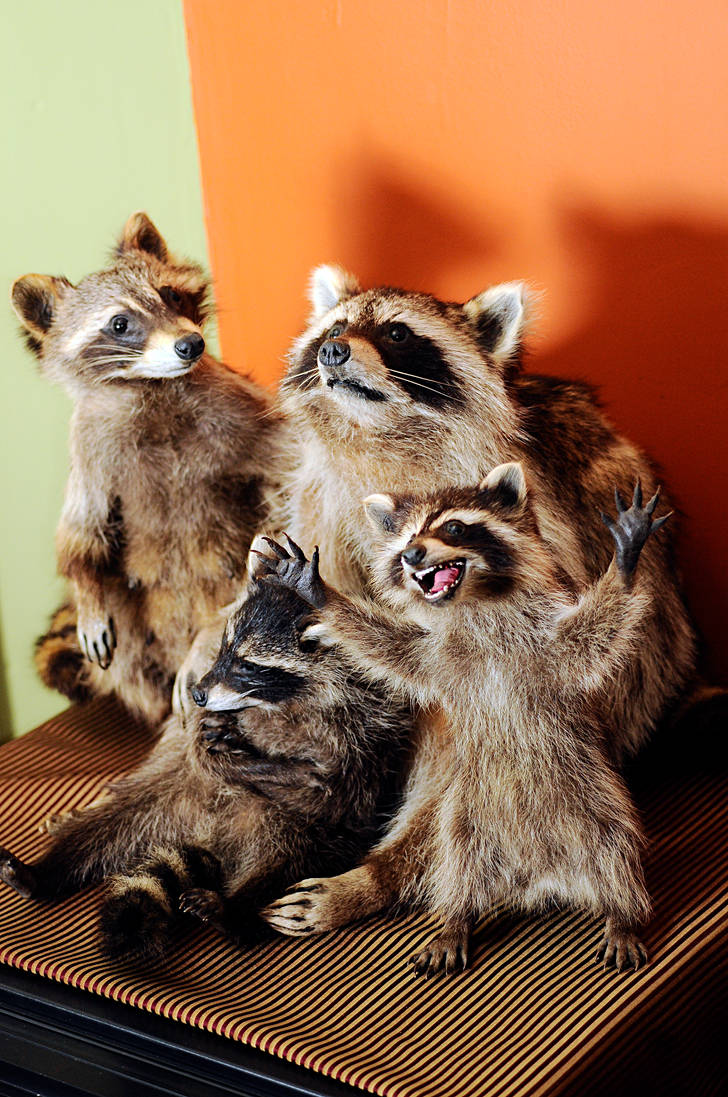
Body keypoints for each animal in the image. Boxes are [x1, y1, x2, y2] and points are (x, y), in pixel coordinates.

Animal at [0, 573, 411, 962]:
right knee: (103, 829)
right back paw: (44, 873)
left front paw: (260, 765)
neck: (280, 701)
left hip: (306, 833)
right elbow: (195, 741)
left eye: (248, 664)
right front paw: (218, 745)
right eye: (223, 647)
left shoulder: (368, 727)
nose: (198, 692)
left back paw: (237, 913)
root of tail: (212, 841)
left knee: (291, 862)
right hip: (165, 800)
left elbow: (334, 788)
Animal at [12, 213, 280, 725]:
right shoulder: (89, 447)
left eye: (171, 295)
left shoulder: (240, 410)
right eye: (120, 323)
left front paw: (214, 632)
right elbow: (81, 534)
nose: (191, 344)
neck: (153, 387)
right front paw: (87, 592)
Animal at [258, 470, 669, 974]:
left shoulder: (548, 649)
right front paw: (318, 593)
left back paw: (623, 914)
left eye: (453, 527)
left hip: (591, 801)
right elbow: (384, 645)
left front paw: (625, 563)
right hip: (468, 820)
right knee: (455, 867)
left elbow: (597, 634)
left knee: (617, 851)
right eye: (406, 539)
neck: (476, 606)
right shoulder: (436, 657)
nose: (413, 555)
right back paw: (454, 919)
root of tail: (538, 879)